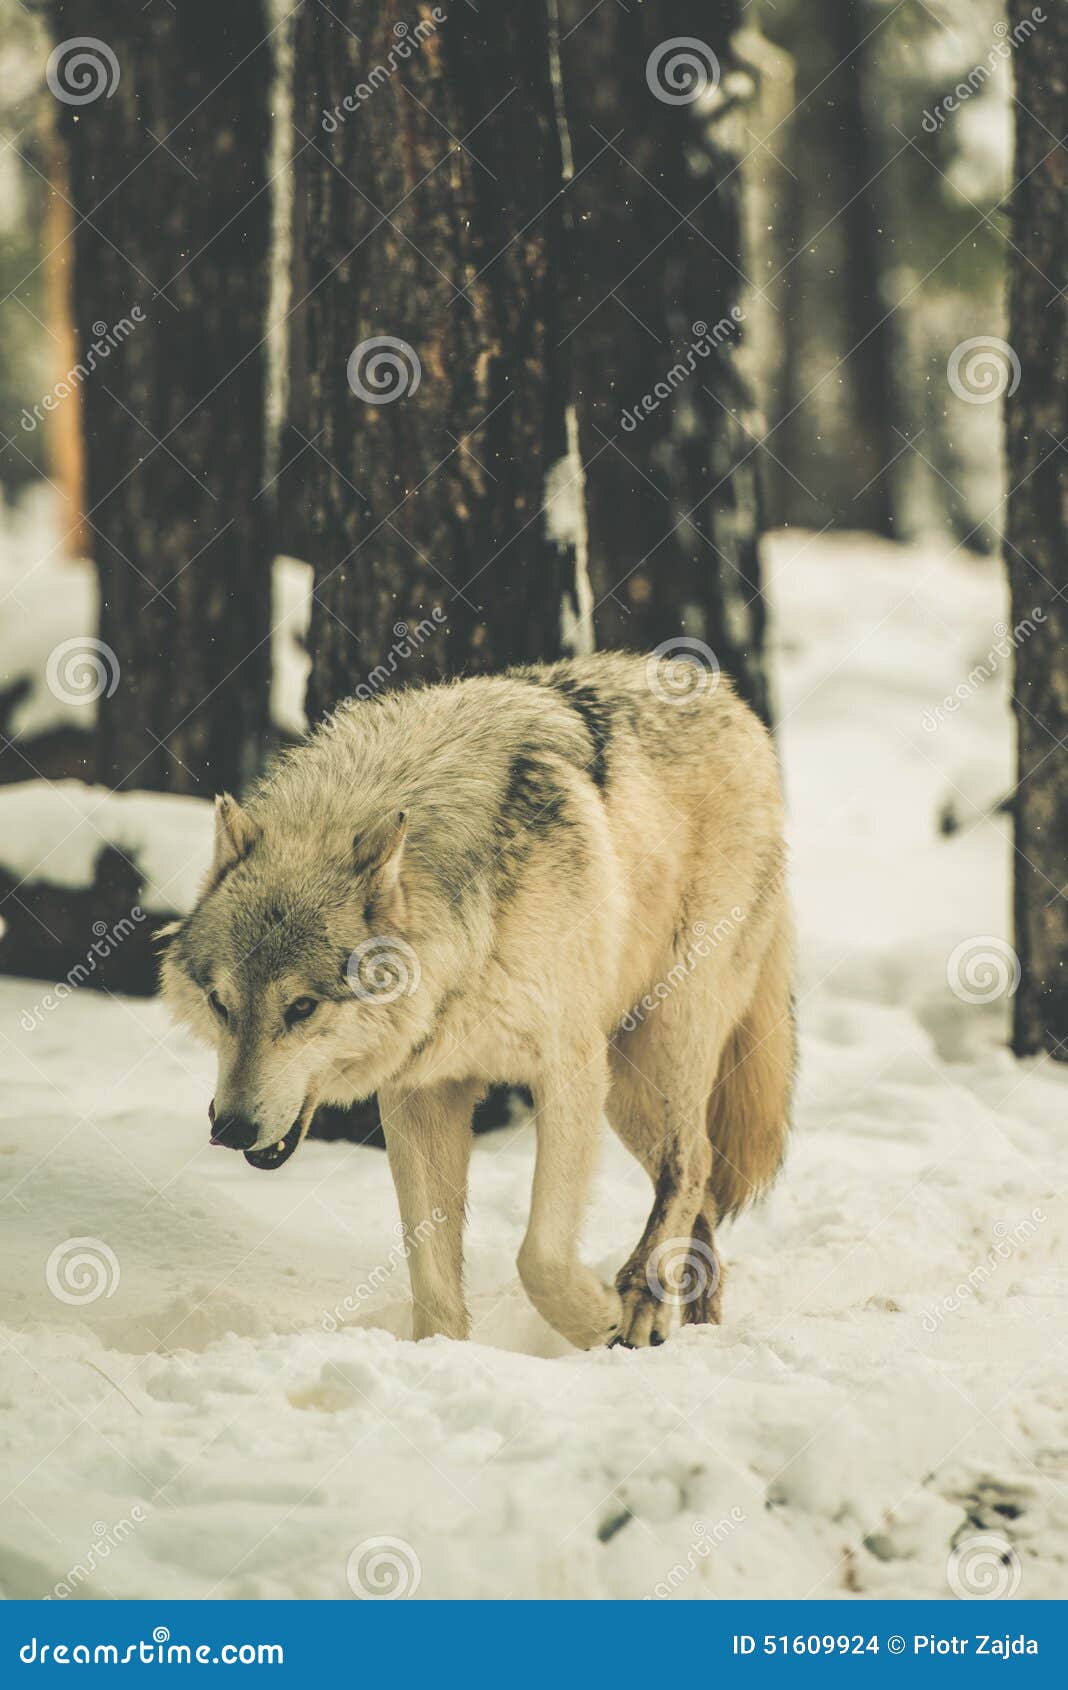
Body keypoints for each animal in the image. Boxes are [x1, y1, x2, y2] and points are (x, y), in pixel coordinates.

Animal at [160, 651, 794, 1349]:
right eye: (221, 1005)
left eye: (301, 1008)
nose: (229, 1128)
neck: (468, 944)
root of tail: (724, 695)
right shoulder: (421, 1091)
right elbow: (434, 1282)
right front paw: (443, 1355)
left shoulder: (568, 1069)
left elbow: (539, 1257)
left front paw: (597, 1319)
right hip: (628, 1094)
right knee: (699, 1188)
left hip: (658, 1045)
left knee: (693, 1165)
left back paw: (642, 1302)